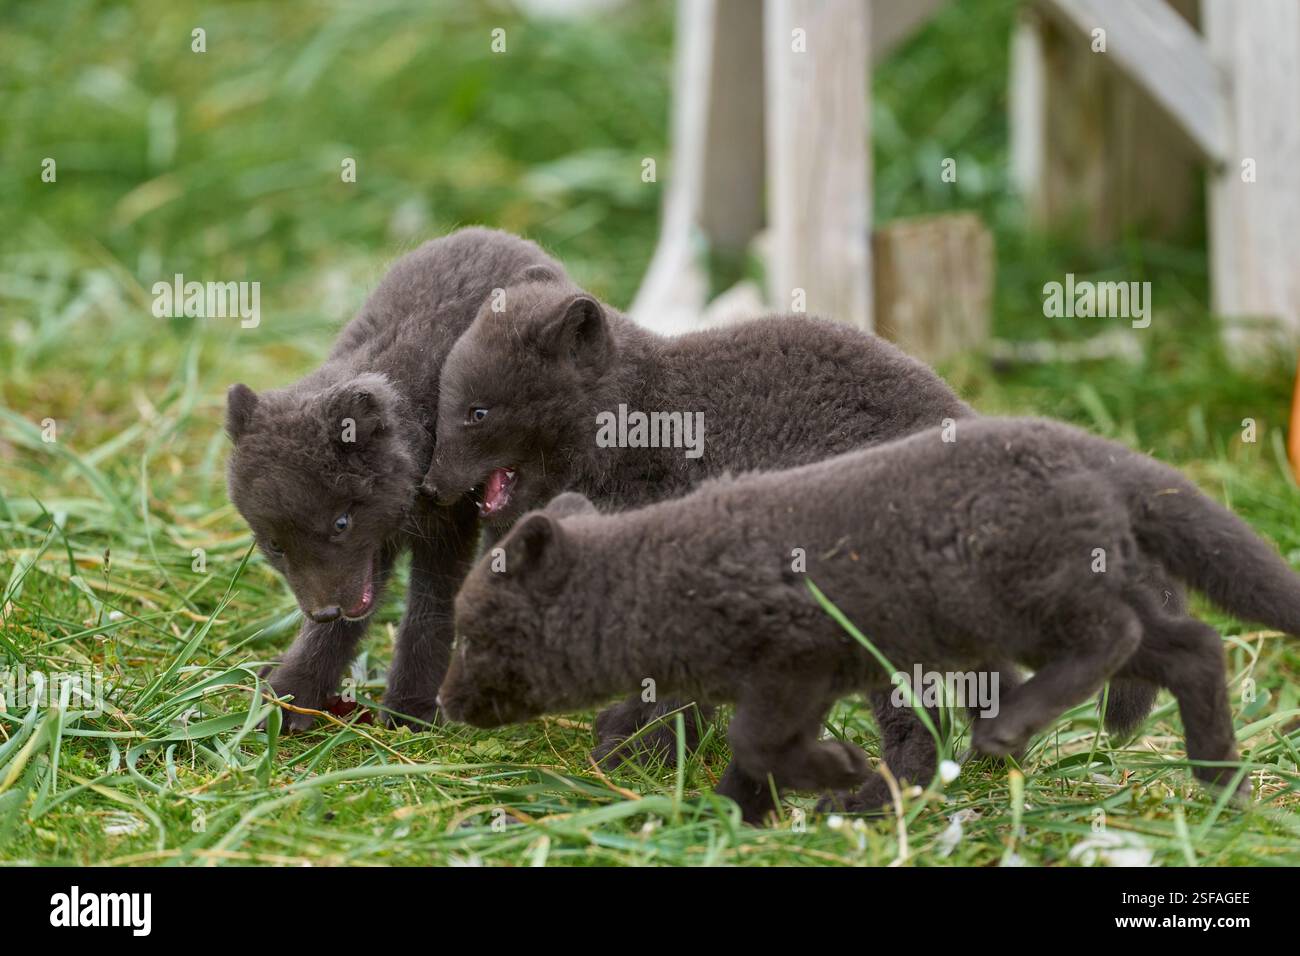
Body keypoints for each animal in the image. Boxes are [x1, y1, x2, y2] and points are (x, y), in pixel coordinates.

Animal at [224, 228, 568, 728]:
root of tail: (495, 232)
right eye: (274, 545)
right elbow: (335, 632)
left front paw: (411, 709)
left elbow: (429, 613)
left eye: (341, 523)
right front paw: (290, 696)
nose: (325, 610)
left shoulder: (448, 525)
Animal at [438, 418, 1300, 823]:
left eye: (473, 636)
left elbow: (761, 746)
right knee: (1197, 648)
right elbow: (752, 757)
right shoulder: (788, 689)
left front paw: (841, 777)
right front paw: (743, 818)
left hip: (1026, 609)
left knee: (1115, 638)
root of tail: (1092, 447)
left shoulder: (795, 666)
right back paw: (1222, 783)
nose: (442, 705)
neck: (663, 581)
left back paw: (1011, 729)